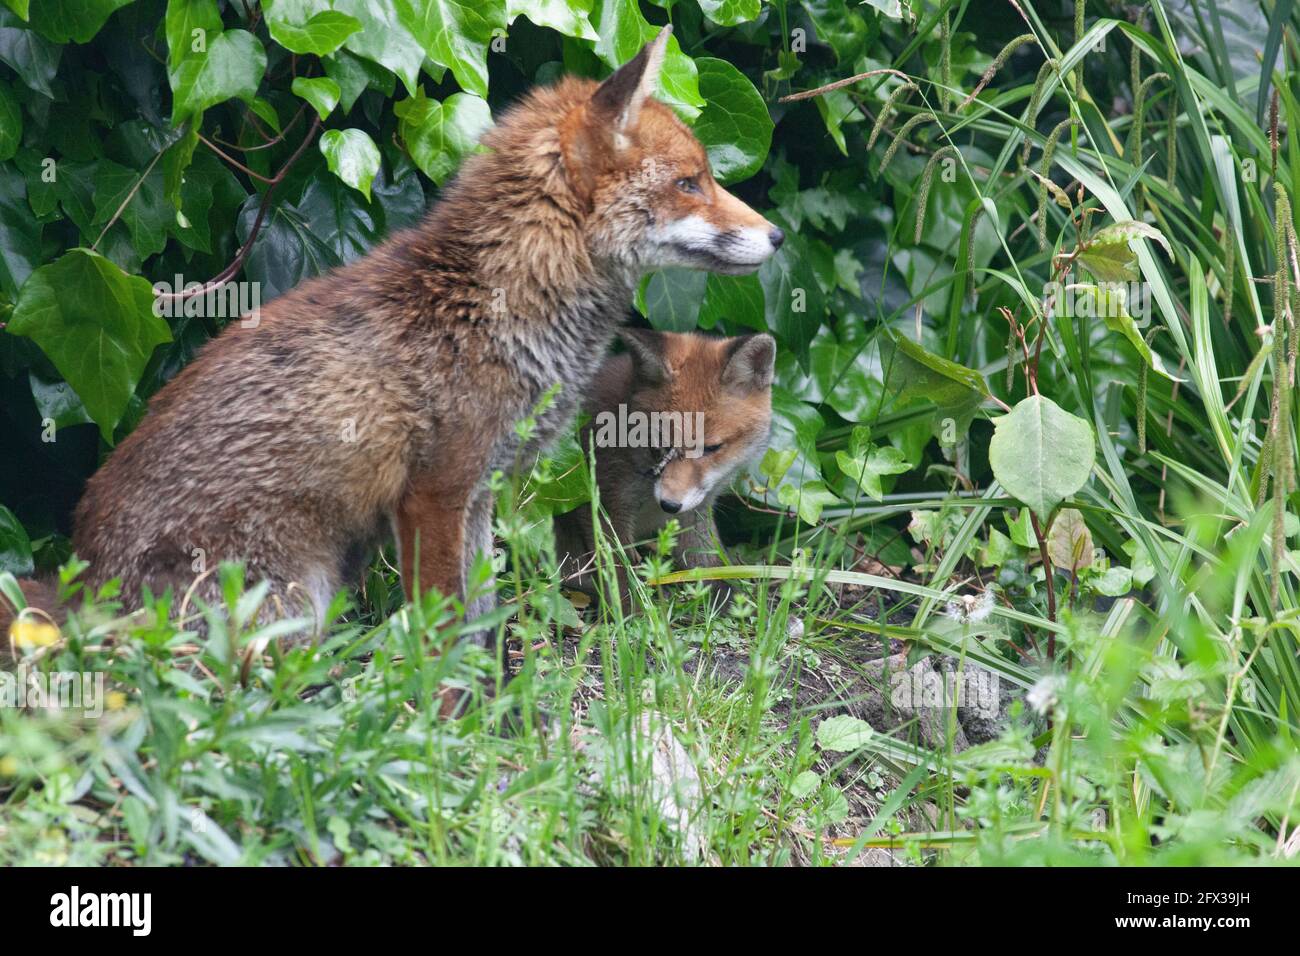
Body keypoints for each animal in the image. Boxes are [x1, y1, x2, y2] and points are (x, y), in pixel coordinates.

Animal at [553, 329, 774, 607]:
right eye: (660, 444)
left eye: (711, 448)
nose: (669, 504)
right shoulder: (602, 503)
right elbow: (619, 577)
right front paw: (633, 613)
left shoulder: (694, 512)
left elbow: (709, 564)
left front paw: (737, 606)